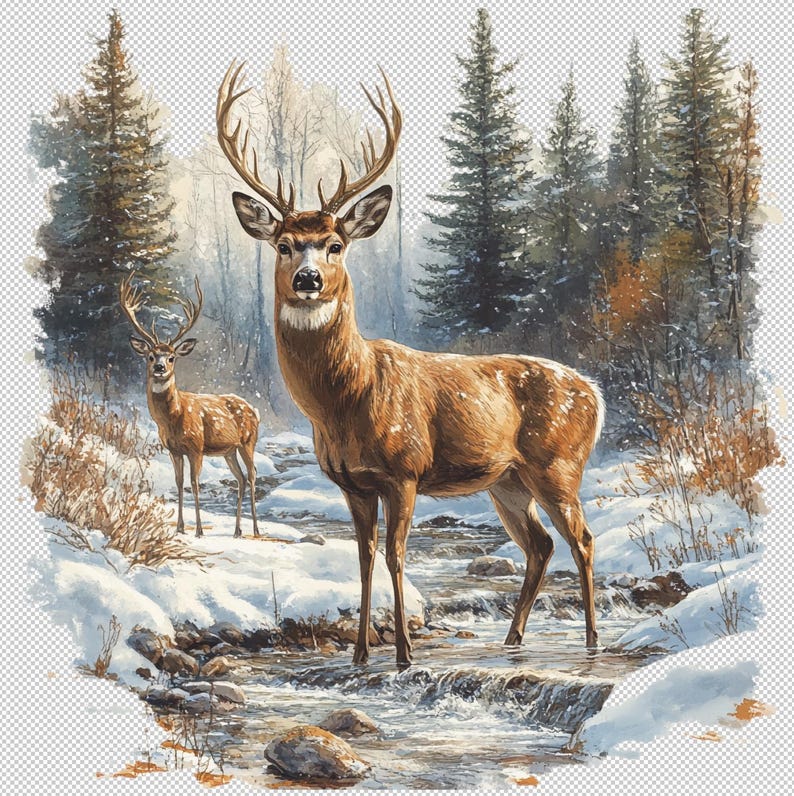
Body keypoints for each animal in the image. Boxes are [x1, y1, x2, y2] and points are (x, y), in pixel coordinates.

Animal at [119, 272, 261, 539]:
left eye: (172, 357)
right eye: (150, 356)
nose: (159, 367)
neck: (173, 418)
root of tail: (255, 410)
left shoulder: (196, 447)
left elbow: (194, 484)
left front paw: (198, 530)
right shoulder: (174, 450)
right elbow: (179, 483)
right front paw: (180, 527)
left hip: (248, 442)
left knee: (252, 475)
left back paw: (256, 529)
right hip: (229, 450)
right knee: (240, 479)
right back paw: (237, 530)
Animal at [217, 61, 605, 667]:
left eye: (334, 244)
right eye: (283, 245)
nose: (308, 280)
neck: (344, 401)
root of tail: (595, 392)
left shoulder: (405, 471)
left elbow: (398, 556)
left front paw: (402, 653)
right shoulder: (351, 482)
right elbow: (364, 558)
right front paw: (359, 654)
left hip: (558, 465)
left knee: (581, 540)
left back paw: (590, 640)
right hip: (508, 479)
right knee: (541, 545)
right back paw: (512, 638)